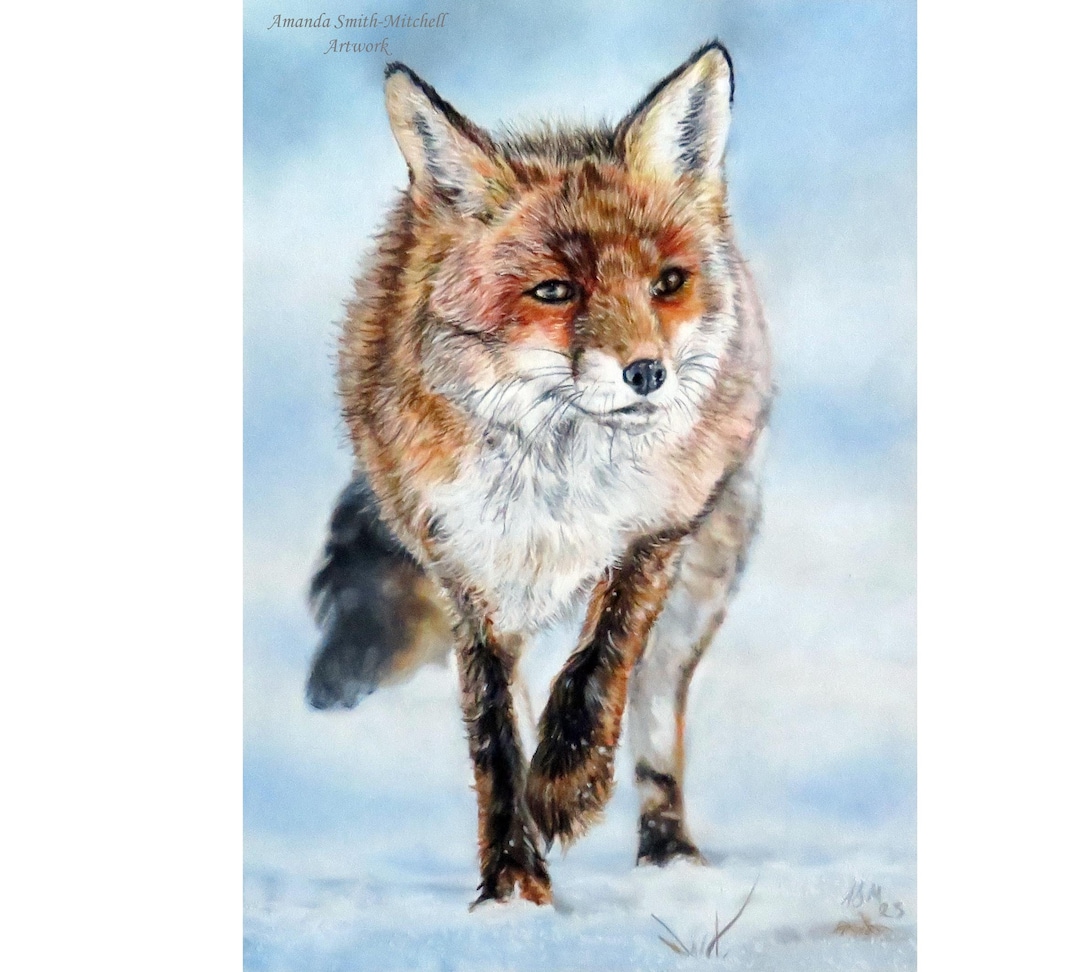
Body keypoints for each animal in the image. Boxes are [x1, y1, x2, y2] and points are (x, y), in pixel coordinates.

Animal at [306, 40, 772, 908]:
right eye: (553, 291)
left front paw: (567, 785)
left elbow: (597, 666)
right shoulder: (470, 576)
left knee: (656, 717)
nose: (647, 374)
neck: (558, 485)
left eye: (668, 283)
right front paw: (512, 888)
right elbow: (494, 739)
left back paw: (669, 854)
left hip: (703, 580)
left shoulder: (657, 531)